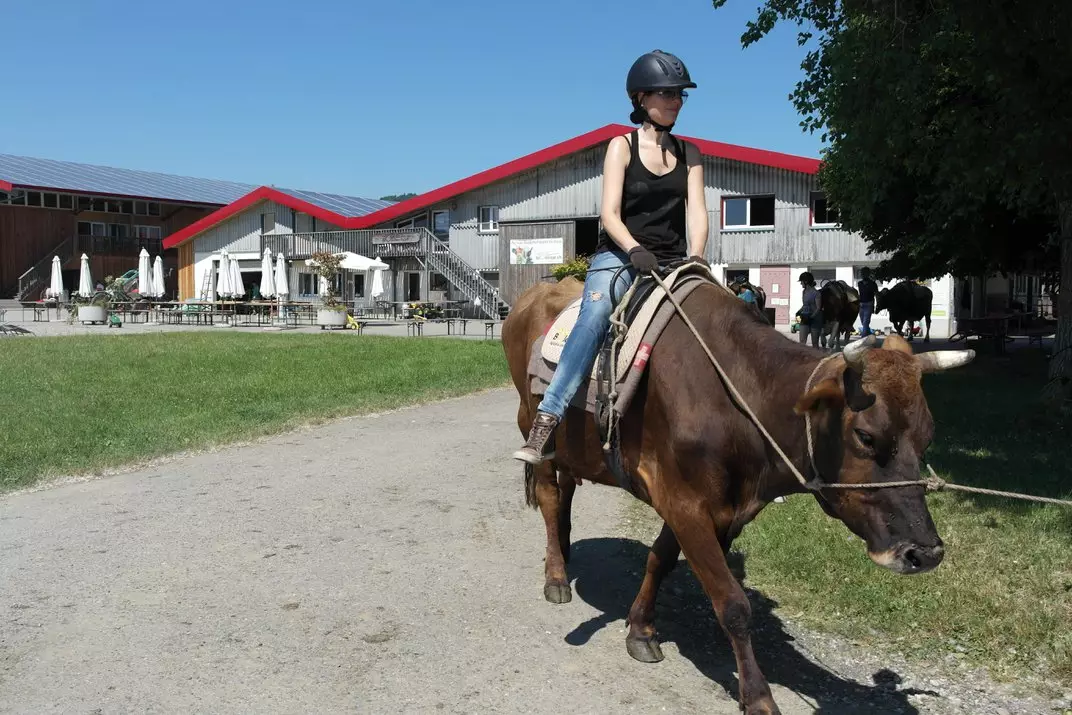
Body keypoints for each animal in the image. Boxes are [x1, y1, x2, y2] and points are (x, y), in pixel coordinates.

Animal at [499, 276, 973, 715]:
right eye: (866, 436)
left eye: (928, 436)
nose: (924, 552)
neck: (739, 402)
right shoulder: (687, 504)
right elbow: (732, 604)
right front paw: (757, 695)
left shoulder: (719, 508)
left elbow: (660, 560)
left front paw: (641, 628)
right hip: (530, 423)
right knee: (549, 496)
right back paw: (556, 576)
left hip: (572, 448)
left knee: (566, 491)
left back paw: (561, 551)